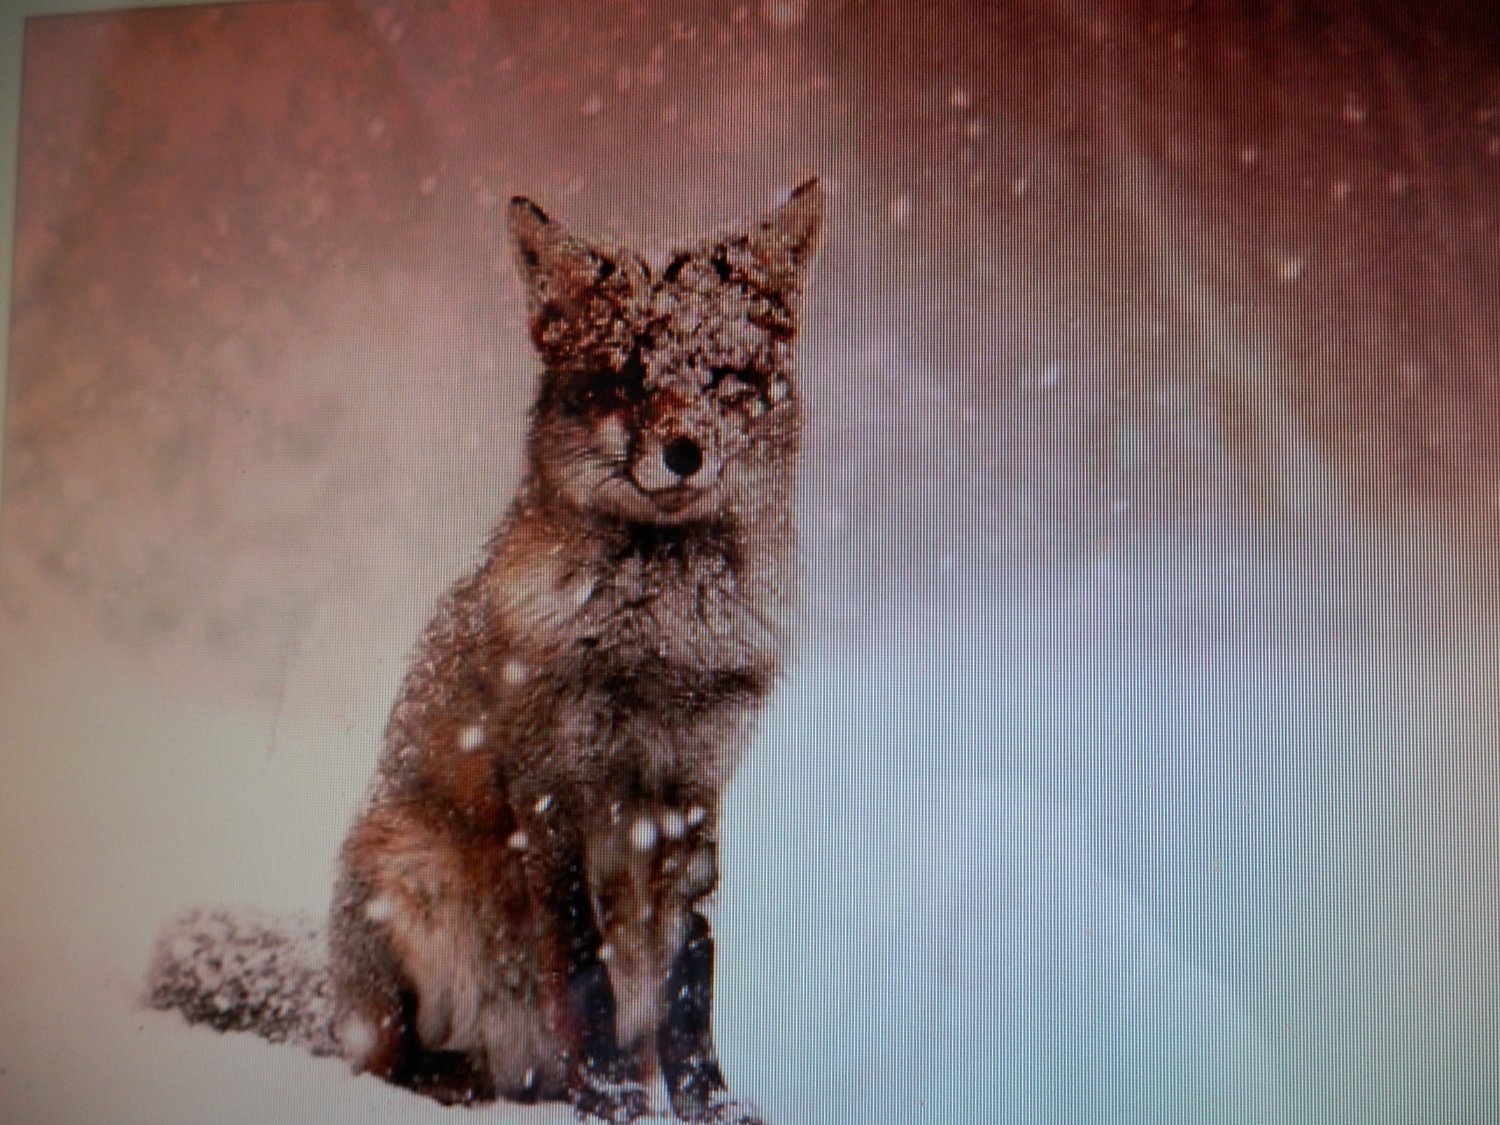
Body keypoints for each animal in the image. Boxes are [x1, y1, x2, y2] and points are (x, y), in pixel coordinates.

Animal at [147, 179, 825, 1124]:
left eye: (726, 378)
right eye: (625, 378)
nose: (684, 452)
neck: (658, 639)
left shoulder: (693, 793)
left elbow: (692, 980)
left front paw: (705, 1103)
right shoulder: (553, 788)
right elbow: (583, 970)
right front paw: (612, 1099)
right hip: (410, 879)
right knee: (383, 1059)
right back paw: (462, 1082)